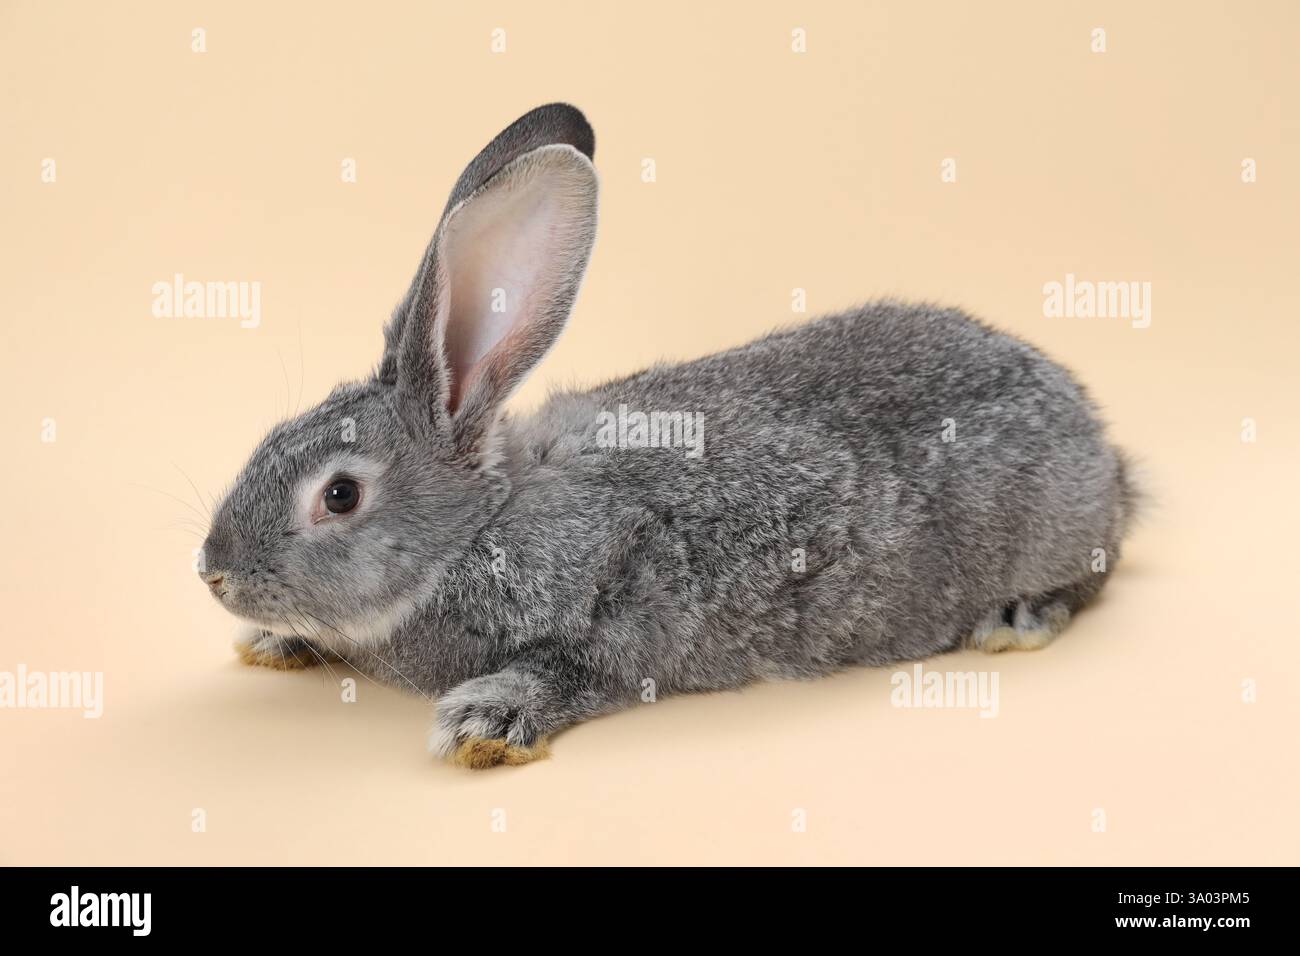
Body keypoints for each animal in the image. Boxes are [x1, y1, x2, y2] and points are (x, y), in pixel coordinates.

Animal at [199, 103, 1139, 769]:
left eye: (340, 495)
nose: (213, 572)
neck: (477, 530)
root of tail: (1107, 457)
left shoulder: (618, 602)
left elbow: (575, 670)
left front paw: (485, 722)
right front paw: (276, 644)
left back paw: (1016, 619)